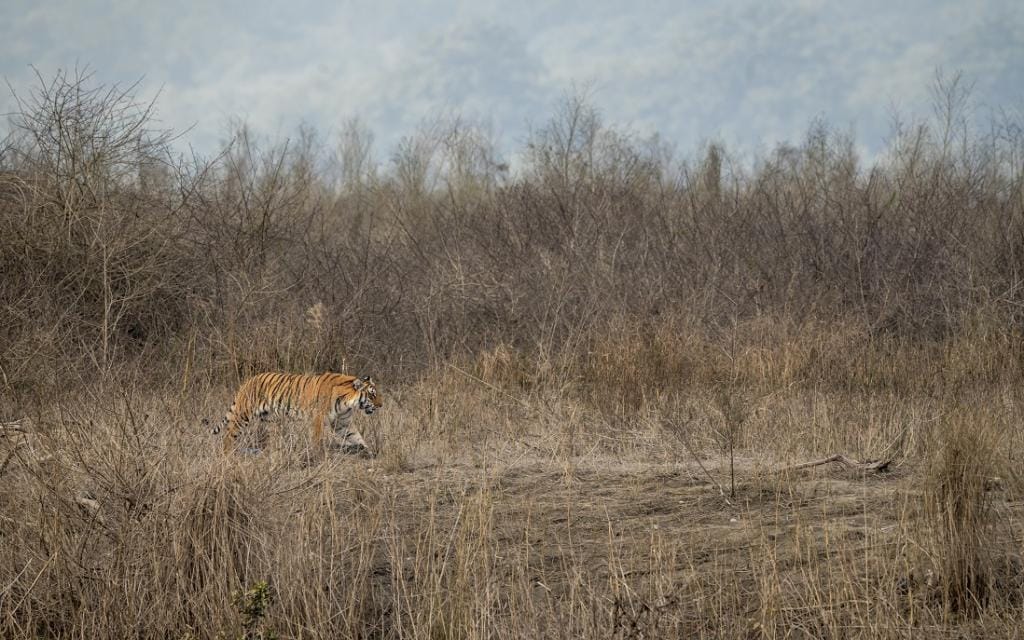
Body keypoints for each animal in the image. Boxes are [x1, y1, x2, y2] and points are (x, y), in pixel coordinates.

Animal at [211, 372, 382, 456]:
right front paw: (317, 456)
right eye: (372, 394)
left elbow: (357, 437)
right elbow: (317, 439)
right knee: (228, 435)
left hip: (269, 420)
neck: (347, 403)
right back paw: (227, 454)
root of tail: (248, 381)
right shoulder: (318, 419)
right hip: (242, 415)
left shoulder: (342, 423)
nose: (381, 405)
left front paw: (368, 452)